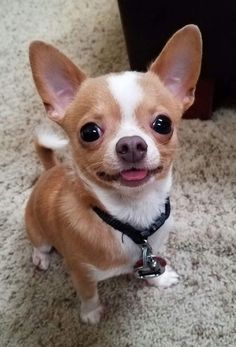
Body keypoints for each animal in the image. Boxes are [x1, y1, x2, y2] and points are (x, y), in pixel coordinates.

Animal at [25, 24, 203, 324]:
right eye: (89, 132)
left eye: (163, 124)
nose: (131, 144)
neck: (132, 215)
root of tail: (49, 170)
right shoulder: (81, 271)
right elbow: (88, 293)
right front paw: (91, 314)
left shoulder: (152, 249)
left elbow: (153, 265)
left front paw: (159, 279)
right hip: (36, 229)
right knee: (40, 244)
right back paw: (41, 257)